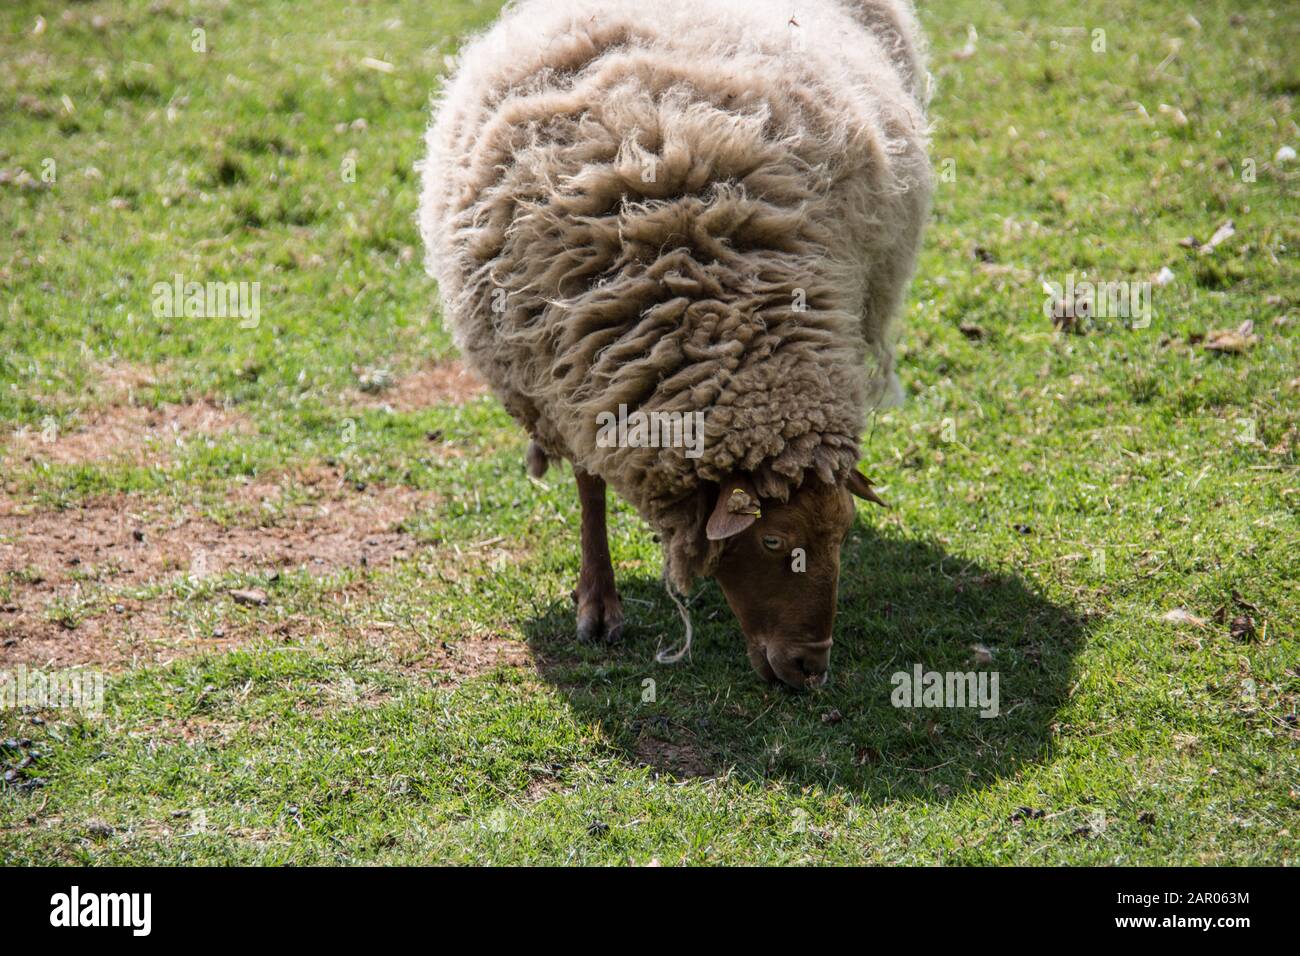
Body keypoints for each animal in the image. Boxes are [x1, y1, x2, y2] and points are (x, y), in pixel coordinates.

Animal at [420, 0, 931, 688]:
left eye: (843, 535)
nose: (809, 668)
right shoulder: (570, 380)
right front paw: (598, 605)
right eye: (772, 541)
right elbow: (589, 489)